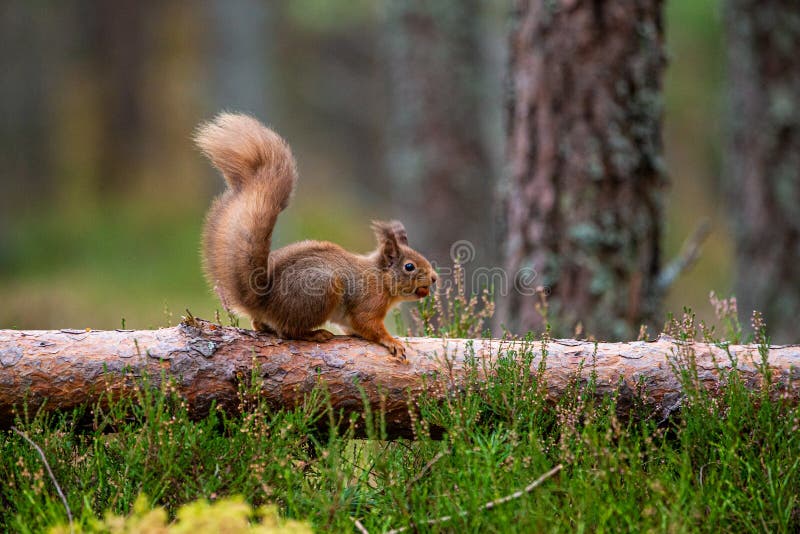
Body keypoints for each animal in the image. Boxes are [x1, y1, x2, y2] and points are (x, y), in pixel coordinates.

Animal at [195, 113, 436, 358]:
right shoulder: (368, 301)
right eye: (409, 266)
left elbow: (352, 327)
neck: (381, 278)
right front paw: (392, 341)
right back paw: (314, 334)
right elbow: (368, 325)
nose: (435, 277)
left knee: (260, 325)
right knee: (289, 331)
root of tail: (265, 303)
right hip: (321, 290)